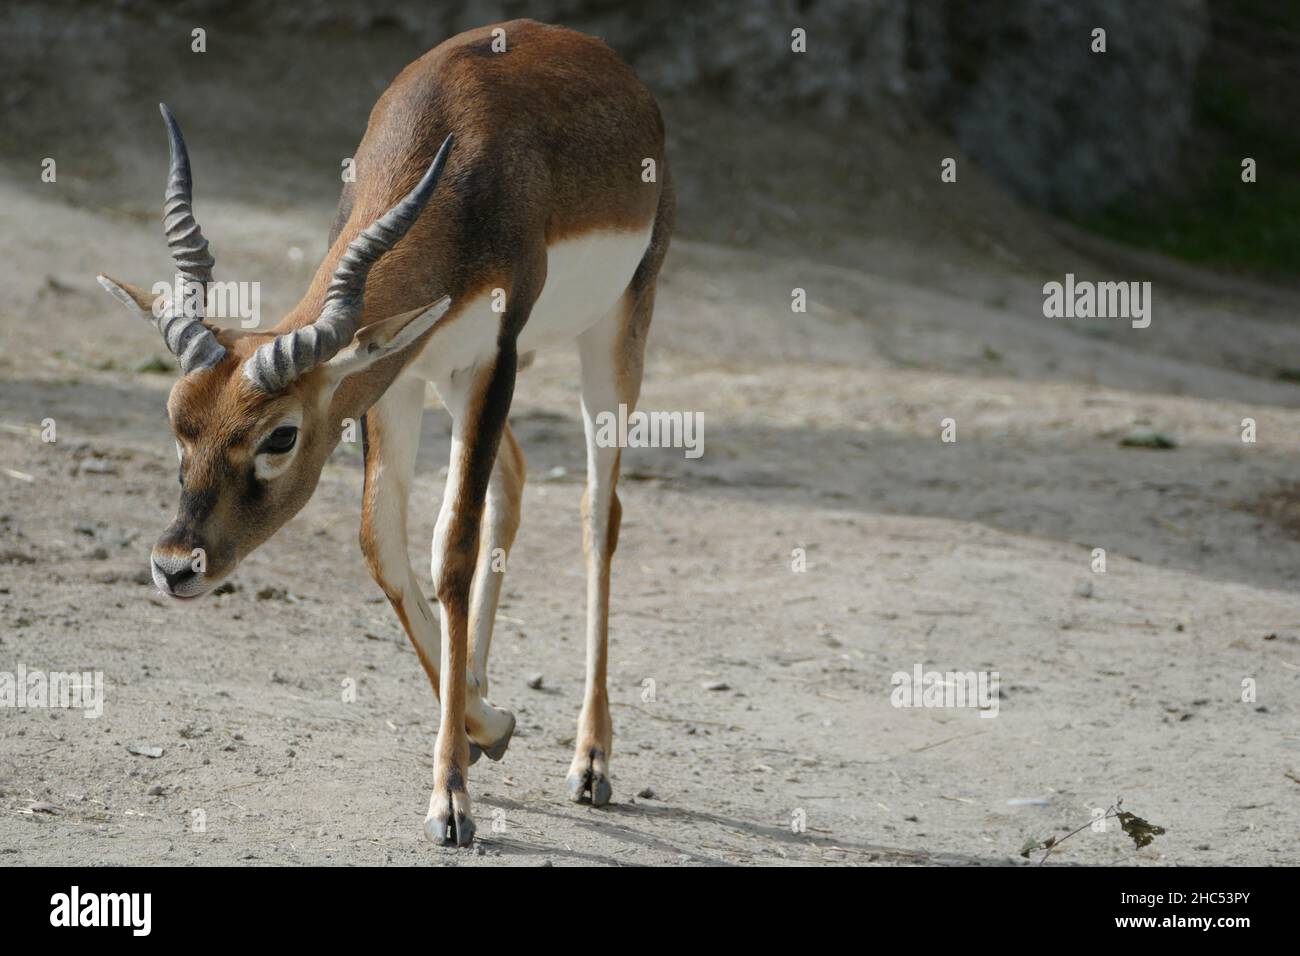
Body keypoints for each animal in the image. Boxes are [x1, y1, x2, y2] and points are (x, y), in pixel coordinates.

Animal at [96, 20, 673, 846]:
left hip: (614, 330)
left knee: (600, 512)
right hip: (460, 377)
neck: (458, 158)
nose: (176, 566)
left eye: (280, 436)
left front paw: (452, 799)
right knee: (516, 480)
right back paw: (479, 696)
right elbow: (383, 543)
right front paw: (486, 726)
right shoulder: (392, 378)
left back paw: (592, 761)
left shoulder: (490, 358)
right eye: (178, 418)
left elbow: (450, 549)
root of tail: (608, 63)